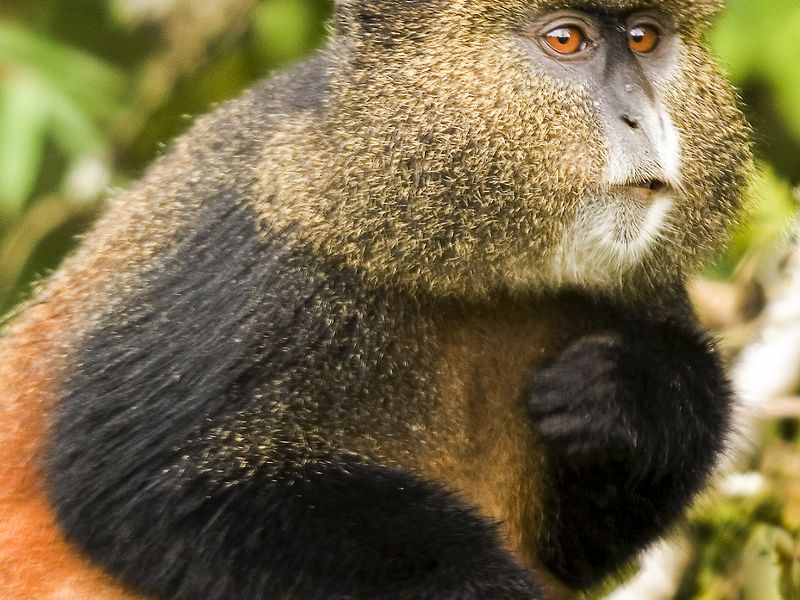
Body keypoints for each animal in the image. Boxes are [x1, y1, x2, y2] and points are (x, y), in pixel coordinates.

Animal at [0, 0, 751, 599]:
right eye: (566, 40)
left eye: (646, 38)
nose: (642, 118)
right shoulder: (254, 258)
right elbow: (139, 486)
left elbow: (576, 549)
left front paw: (634, 393)